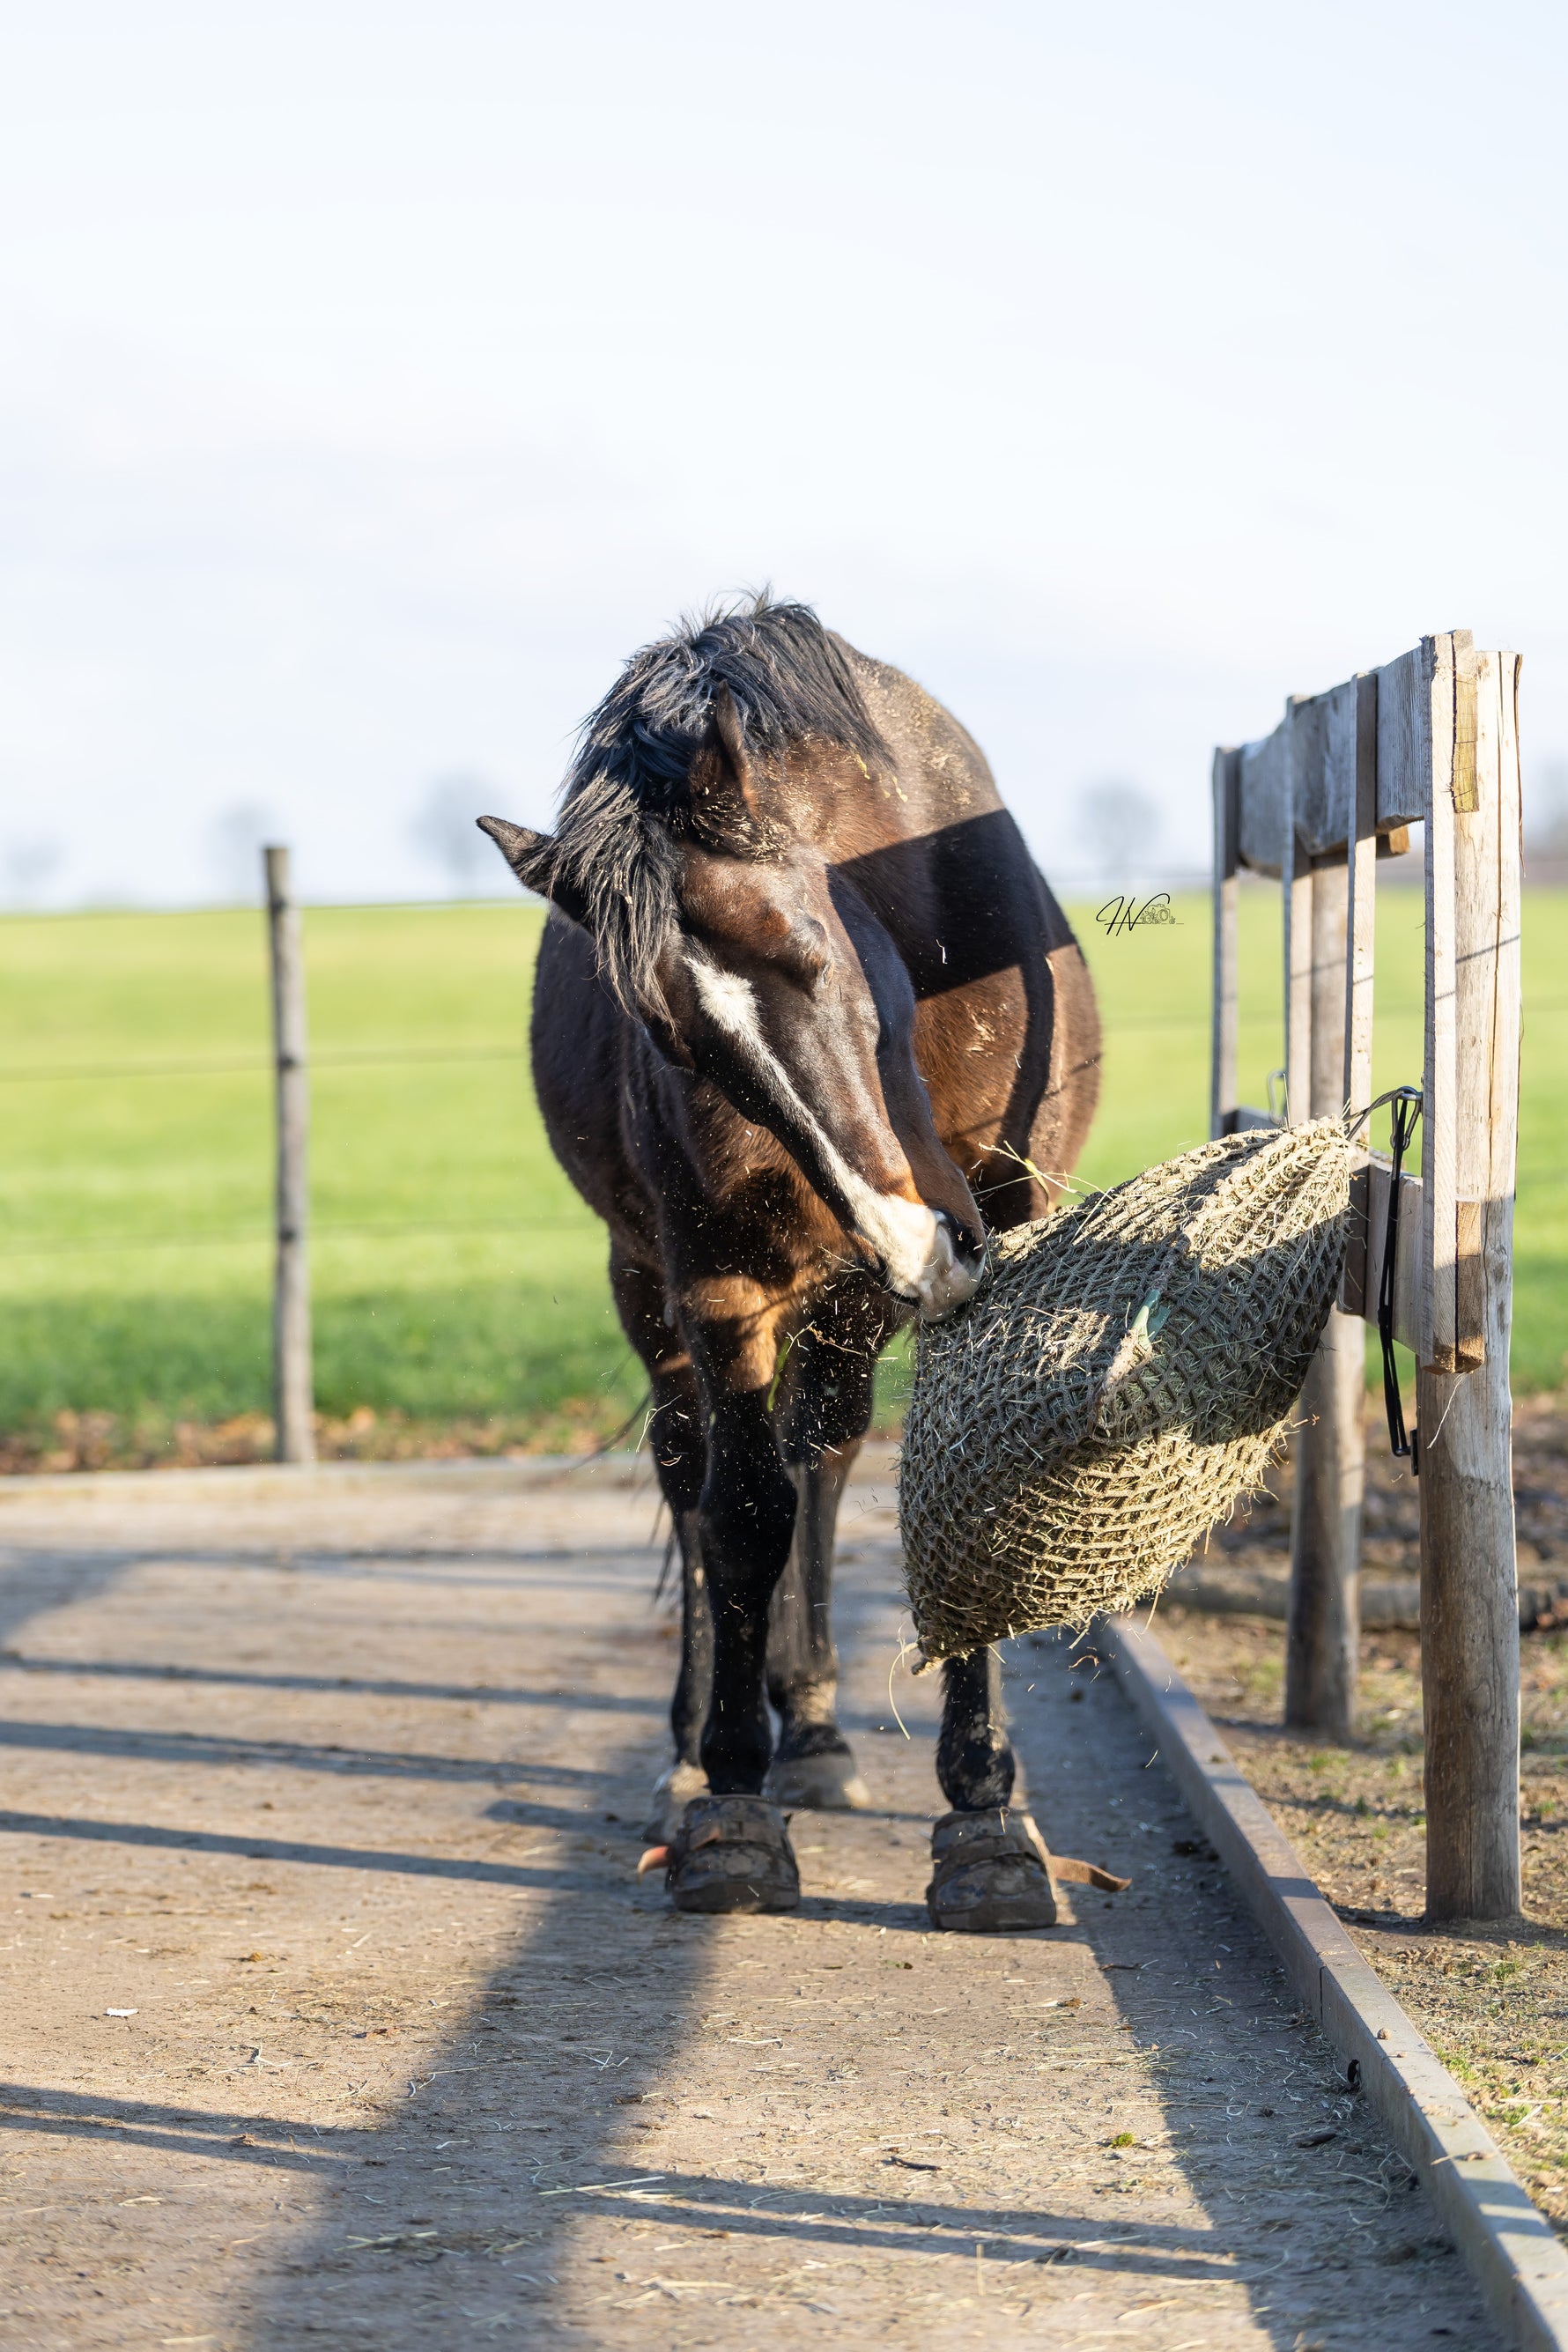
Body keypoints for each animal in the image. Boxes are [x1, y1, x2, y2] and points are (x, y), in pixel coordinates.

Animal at [481, 597, 1100, 1928]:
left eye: (810, 949)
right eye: (676, 1039)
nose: (912, 1230)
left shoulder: (991, 1238)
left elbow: (932, 1487)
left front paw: (987, 1814)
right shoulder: (717, 1283)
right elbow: (742, 1513)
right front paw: (731, 1796)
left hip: (853, 1299)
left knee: (825, 1448)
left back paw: (813, 1725)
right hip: (662, 1287)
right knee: (695, 1475)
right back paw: (699, 1745)